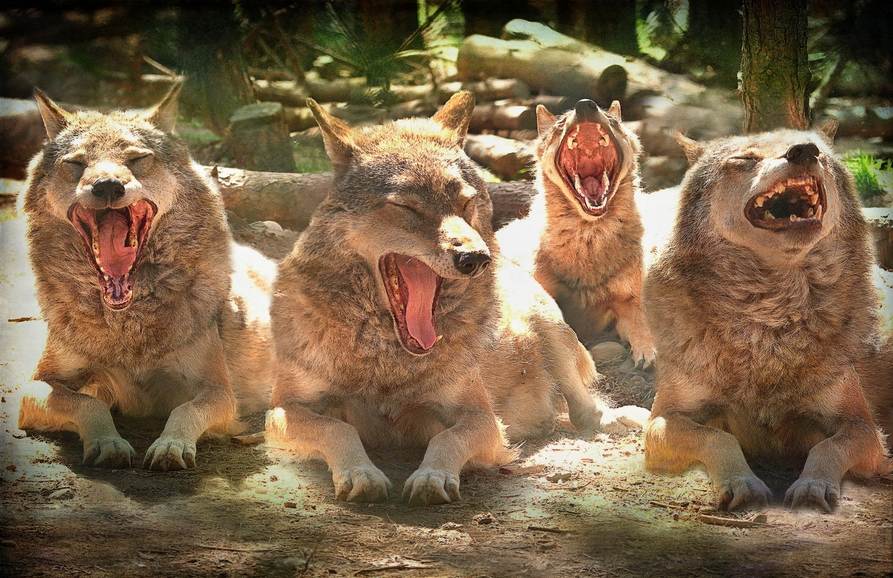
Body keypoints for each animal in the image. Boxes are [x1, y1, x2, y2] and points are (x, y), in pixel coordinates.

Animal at [17, 85, 274, 471]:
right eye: (77, 164)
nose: (107, 186)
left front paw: (171, 445)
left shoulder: (218, 392)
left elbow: (185, 411)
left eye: (137, 160)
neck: (127, 325)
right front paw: (108, 441)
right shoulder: (35, 386)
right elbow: (89, 402)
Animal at [267, 92, 639, 506]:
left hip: (551, 332)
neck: (387, 360)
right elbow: (337, 428)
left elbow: (446, 438)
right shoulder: (283, 410)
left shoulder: (482, 417)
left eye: (464, 203)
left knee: (586, 410)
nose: (476, 258)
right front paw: (361, 473)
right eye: (407, 207)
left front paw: (432, 476)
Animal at [498, 100, 655, 367]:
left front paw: (648, 351)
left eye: (612, 121)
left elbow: (641, 324)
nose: (585, 105)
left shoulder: (628, 300)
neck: (589, 237)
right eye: (561, 124)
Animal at [643, 127, 892, 512]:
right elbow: (717, 437)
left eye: (819, 153)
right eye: (745, 159)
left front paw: (813, 485)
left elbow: (827, 446)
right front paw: (742, 482)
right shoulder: (662, 421)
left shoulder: (862, 427)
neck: (770, 320)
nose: (804, 151)